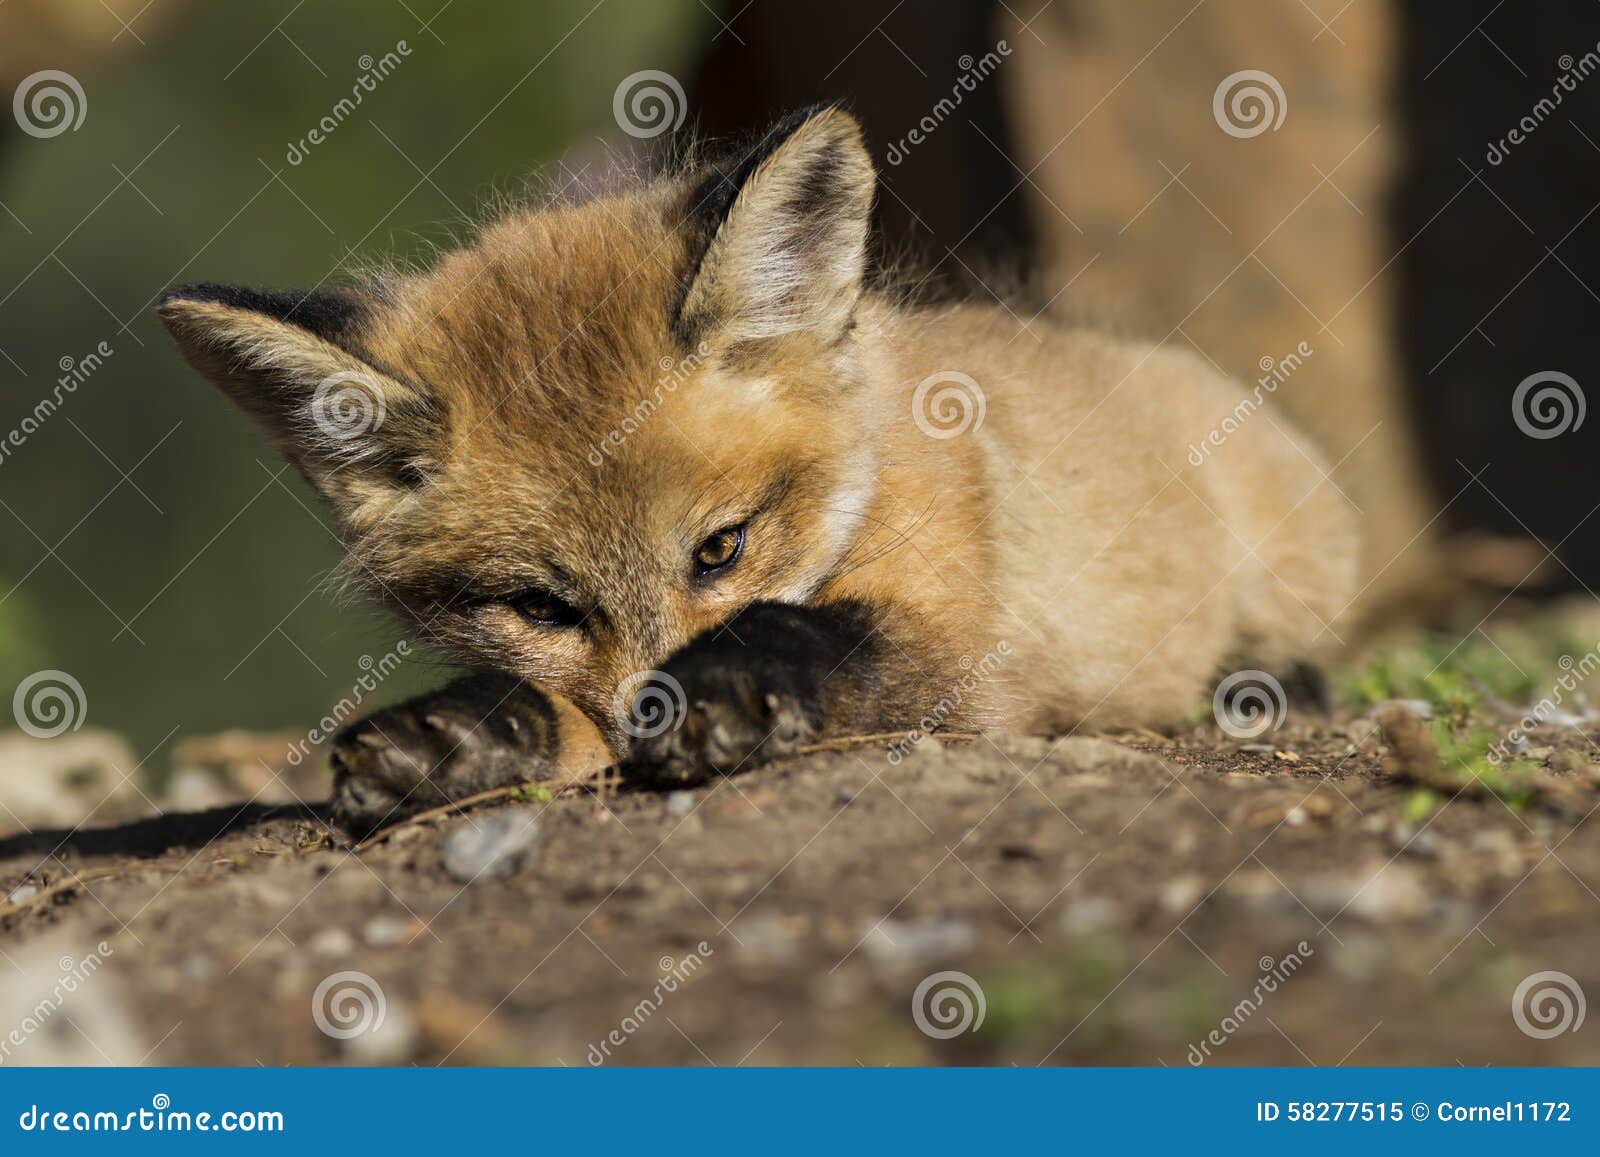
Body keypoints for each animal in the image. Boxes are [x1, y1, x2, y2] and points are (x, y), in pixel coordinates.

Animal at [158, 105, 1358, 835]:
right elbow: (561, 716)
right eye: (540, 607)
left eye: (722, 547)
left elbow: (822, 634)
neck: (866, 470)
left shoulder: (970, 649)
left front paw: (727, 686)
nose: (650, 712)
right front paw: (466, 736)